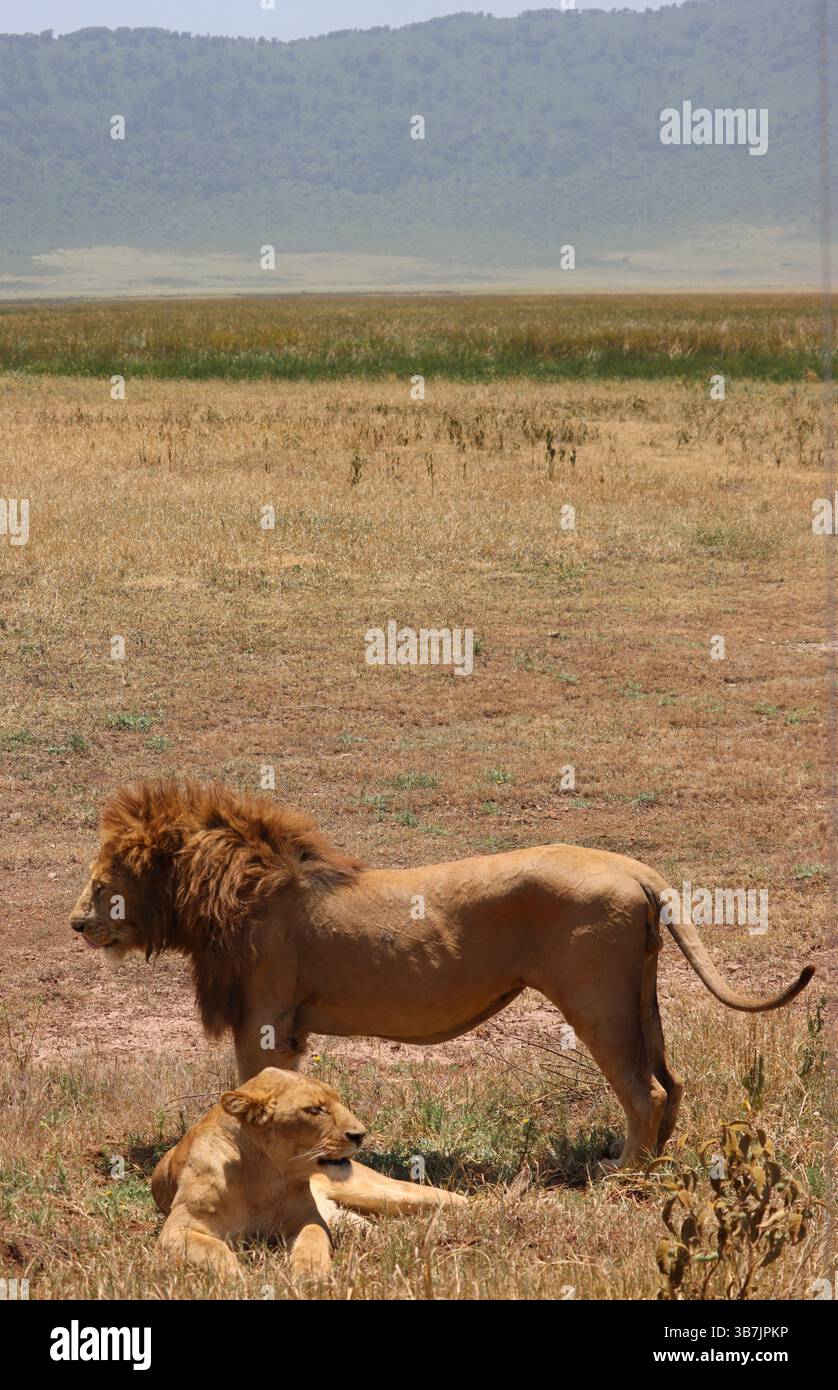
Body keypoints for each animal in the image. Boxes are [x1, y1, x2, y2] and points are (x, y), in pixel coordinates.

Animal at [71, 780, 814, 1170]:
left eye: (104, 881)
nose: (76, 923)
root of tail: (638, 870)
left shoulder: (264, 1020)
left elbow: (255, 1091)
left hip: (596, 999)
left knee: (645, 1091)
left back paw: (623, 1175)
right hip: (640, 998)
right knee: (672, 1082)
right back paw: (655, 1164)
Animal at [151, 1066, 464, 1278]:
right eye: (315, 1109)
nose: (361, 1134)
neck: (265, 1178)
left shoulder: (308, 1219)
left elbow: (312, 1240)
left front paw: (311, 1275)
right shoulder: (178, 1229)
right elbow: (215, 1250)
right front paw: (236, 1277)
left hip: (385, 1192)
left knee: (455, 1200)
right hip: (348, 1213)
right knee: (365, 1224)